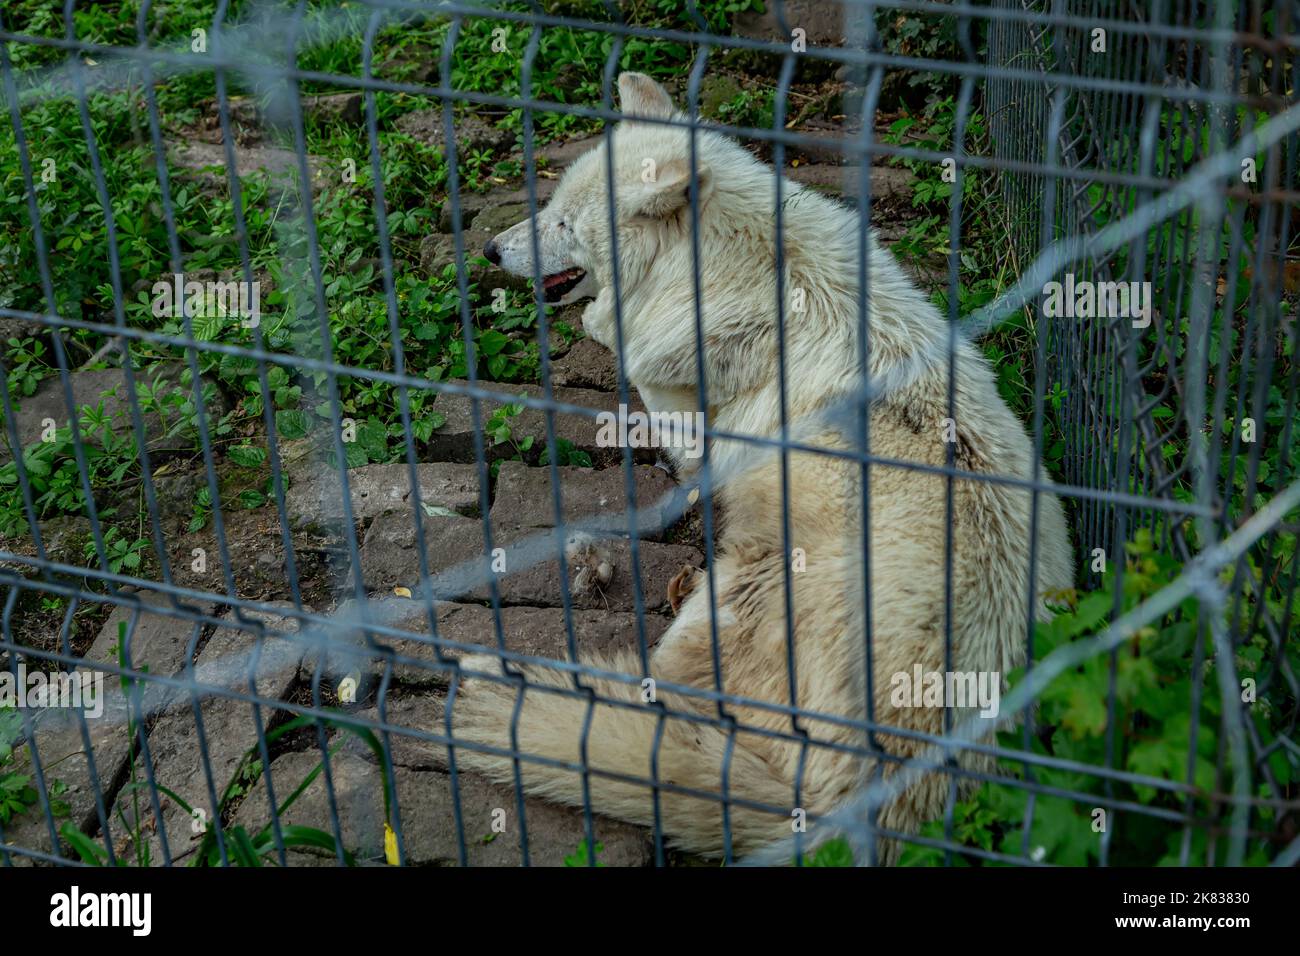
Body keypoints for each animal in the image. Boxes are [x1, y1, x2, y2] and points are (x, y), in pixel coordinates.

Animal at [461, 72, 1074, 863]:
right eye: (551, 205)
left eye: (566, 222)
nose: (489, 251)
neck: (741, 272)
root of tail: (865, 798)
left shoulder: (688, 423)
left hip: (741, 584)